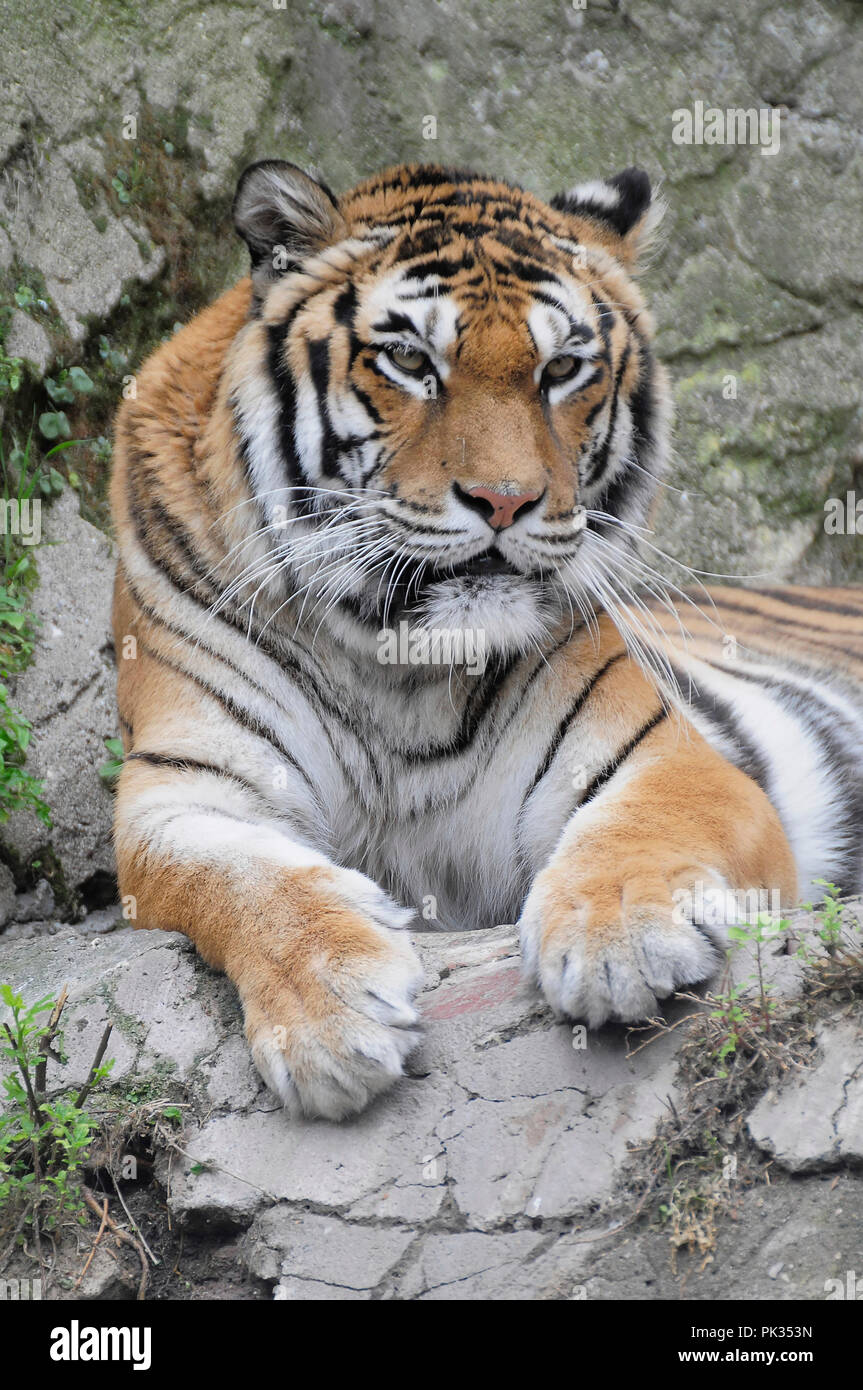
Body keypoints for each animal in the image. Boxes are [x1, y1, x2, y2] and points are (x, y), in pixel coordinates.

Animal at [110, 159, 863, 1120]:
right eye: (408, 361)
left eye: (562, 369)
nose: (504, 501)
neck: (394, 660)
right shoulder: (183, 790)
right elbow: (240, 881)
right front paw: (329, 1013)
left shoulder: (666, 754)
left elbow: (640, 826)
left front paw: (622, 933)